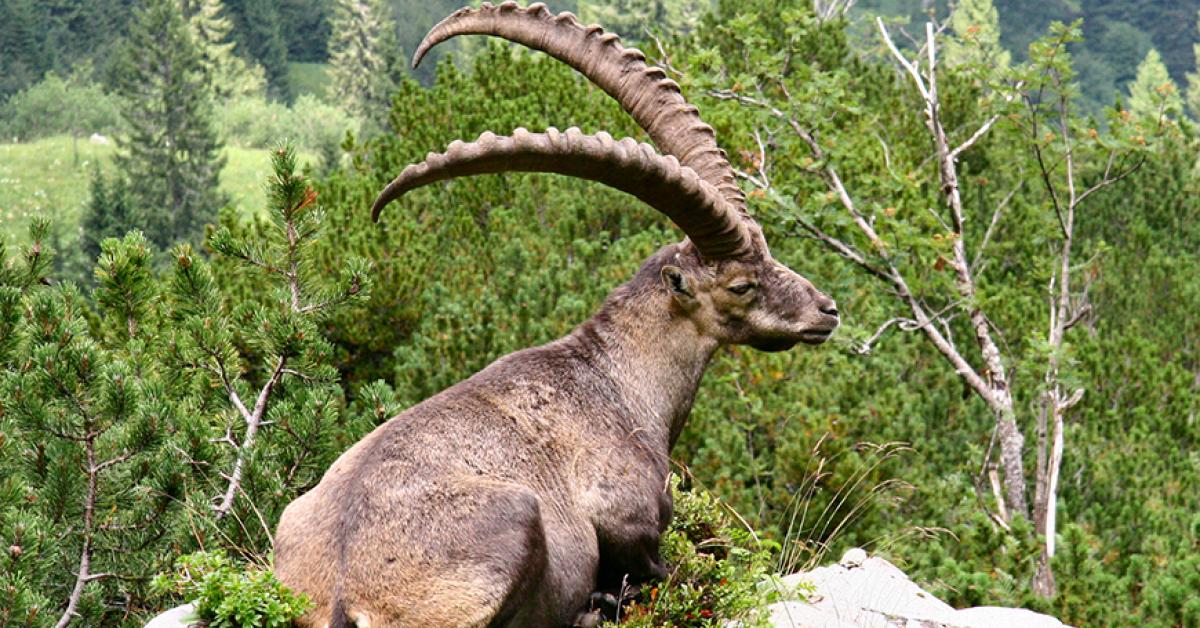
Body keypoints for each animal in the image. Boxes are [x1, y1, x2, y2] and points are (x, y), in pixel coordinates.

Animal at [272, 3, 840, 626]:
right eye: (741, 284)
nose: (826, 310)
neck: (618, 380)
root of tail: (345, 595)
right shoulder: (630, 524)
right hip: (520, 519)